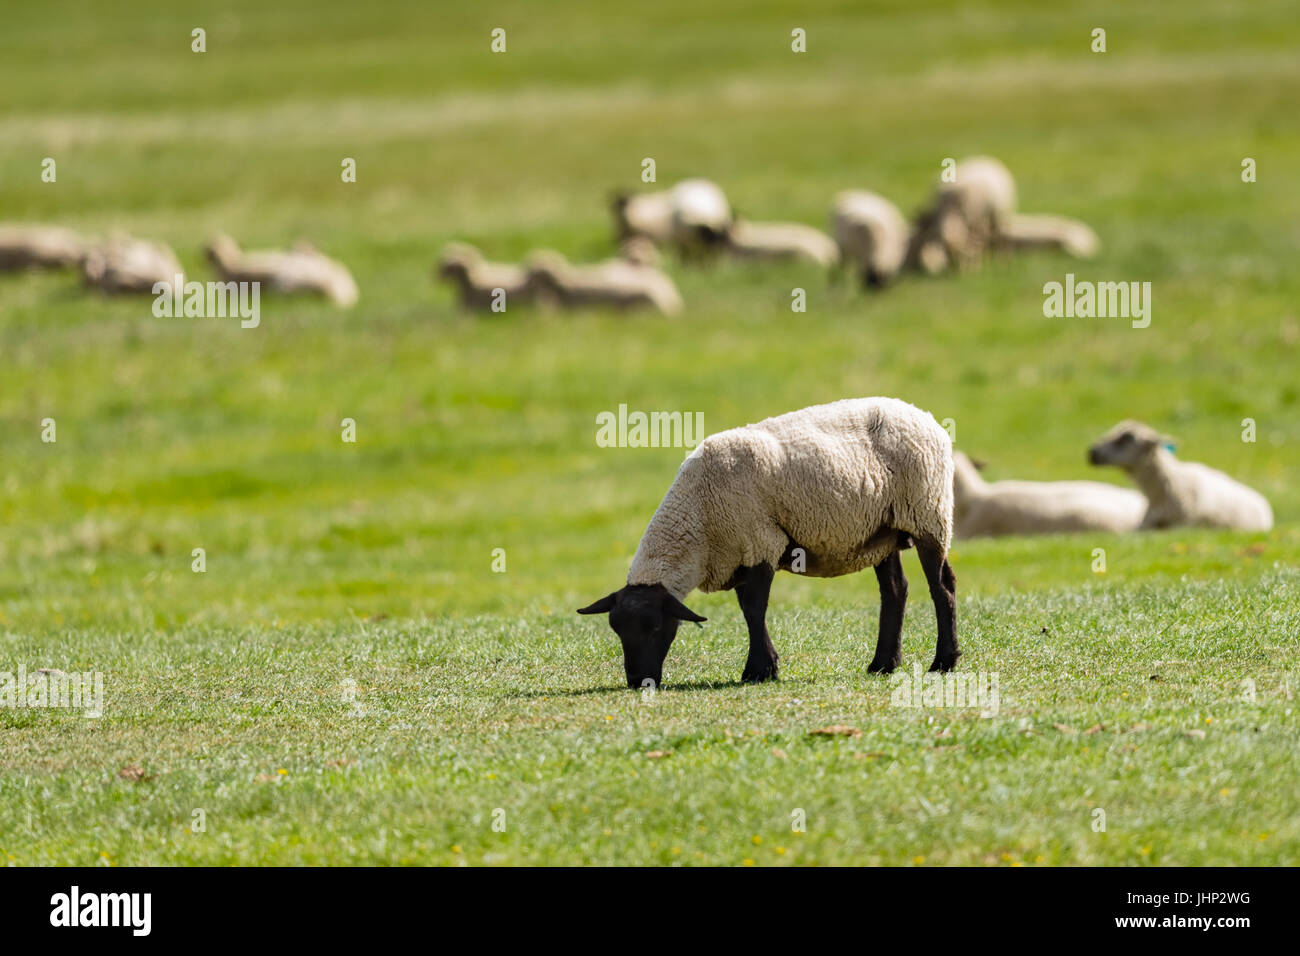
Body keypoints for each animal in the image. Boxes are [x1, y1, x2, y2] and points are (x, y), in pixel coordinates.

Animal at [577, 397, 959, 688]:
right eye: (616, 630)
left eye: (656, 627)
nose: (637, 681)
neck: (698, 518)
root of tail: (926, 418)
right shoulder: (734, 554)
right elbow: (747, 610)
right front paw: (765, 665)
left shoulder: (760, 541)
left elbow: (754, 609)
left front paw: (758, 670)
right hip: (882, 530)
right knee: (895, 590)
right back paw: (883, 664)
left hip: (928, 513)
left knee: (942, 587)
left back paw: (944, 662)